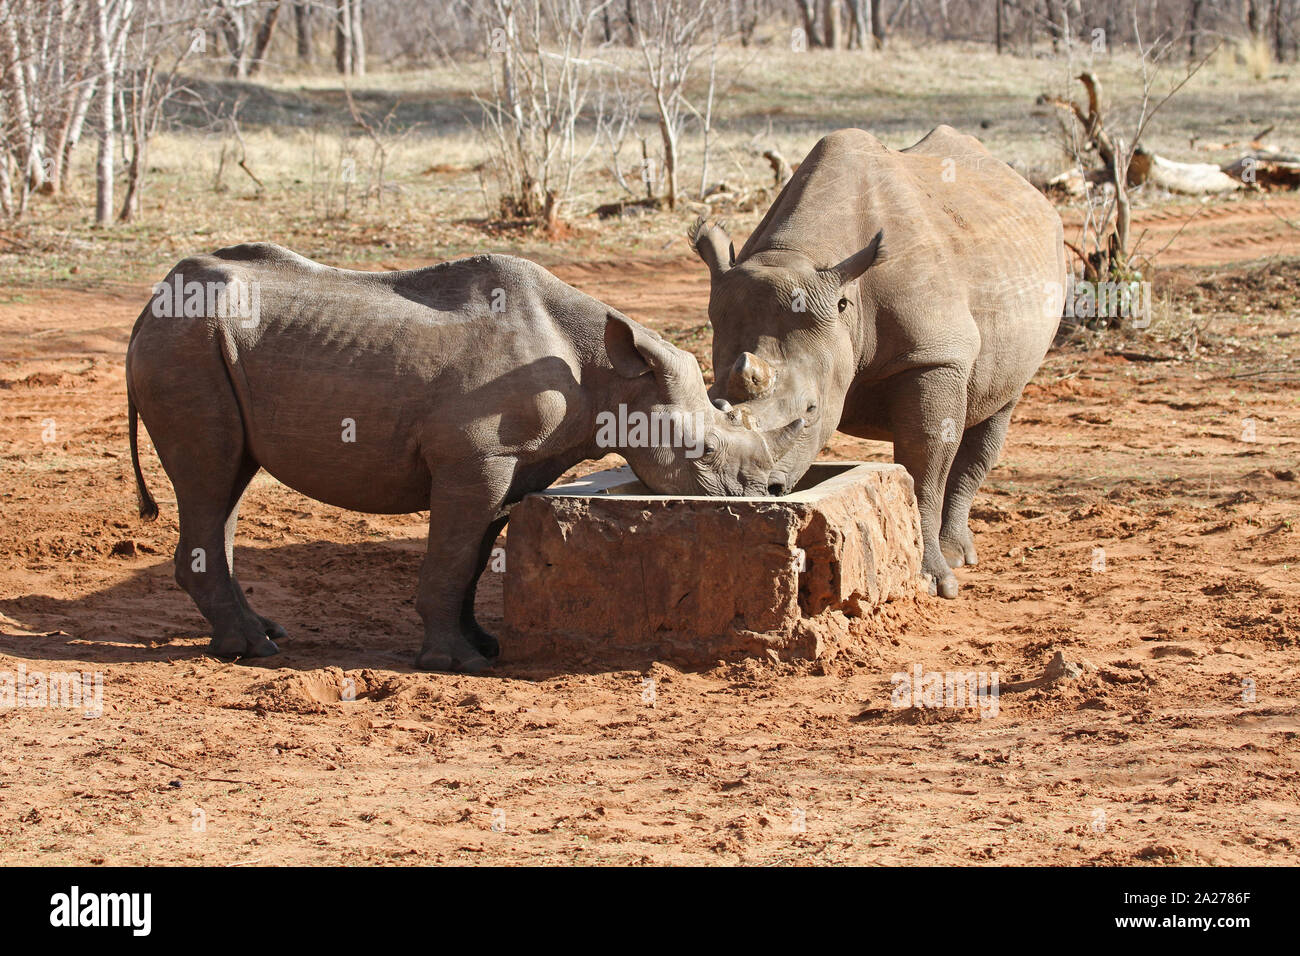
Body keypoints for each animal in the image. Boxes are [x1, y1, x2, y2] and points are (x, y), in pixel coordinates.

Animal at [127, 243, 805, 672]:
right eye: (705, 448)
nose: (765, 497)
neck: (612, 372)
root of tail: (146, 306)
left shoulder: (516, 462)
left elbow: (475, 554)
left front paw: (484, 645)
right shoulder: (477, 453)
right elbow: (455, 554)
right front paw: (457, 664)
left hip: (202, 343)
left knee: (227, 485)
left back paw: (262, 634)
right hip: (185, 345)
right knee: (210, 478)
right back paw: (251, 650)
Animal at [692, 126, 1065, 598]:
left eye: (811, 412)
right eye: (713, 400)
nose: (752, 490)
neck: (799, 256)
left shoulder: (935, 355)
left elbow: (924, 461)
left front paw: (933, 580)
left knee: (997, 410)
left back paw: (958, 557)